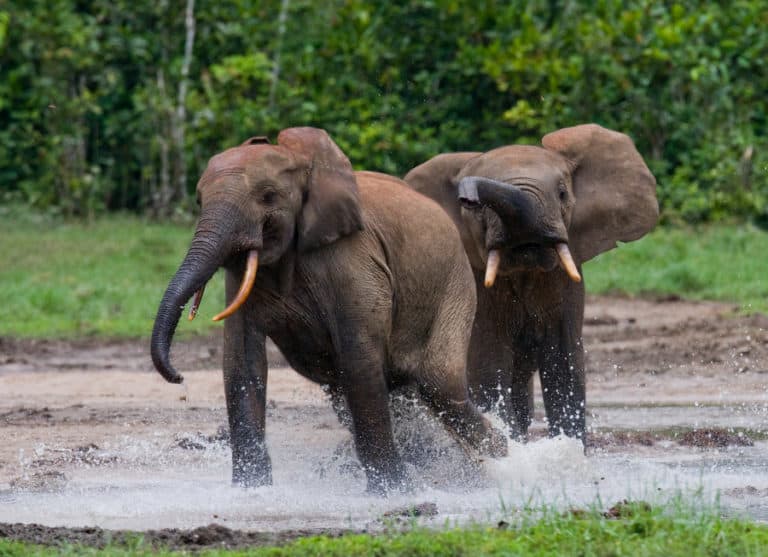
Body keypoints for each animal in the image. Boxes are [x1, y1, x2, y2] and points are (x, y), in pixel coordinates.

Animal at [150, 127, 506, 494]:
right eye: (199, 201)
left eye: (268, 196)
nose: (179, 377)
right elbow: (242, 360)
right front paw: (251, 490)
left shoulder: (351, 257)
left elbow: (359, 357)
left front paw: (391, 491)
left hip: (455, 287)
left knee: (440, 385)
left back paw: (503, 461)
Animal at [404, 124, 658, 442]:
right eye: (477, 209)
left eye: (562, 193)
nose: (467, 195)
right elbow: (489, 364)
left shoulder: (566, 282)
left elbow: (563, 364)